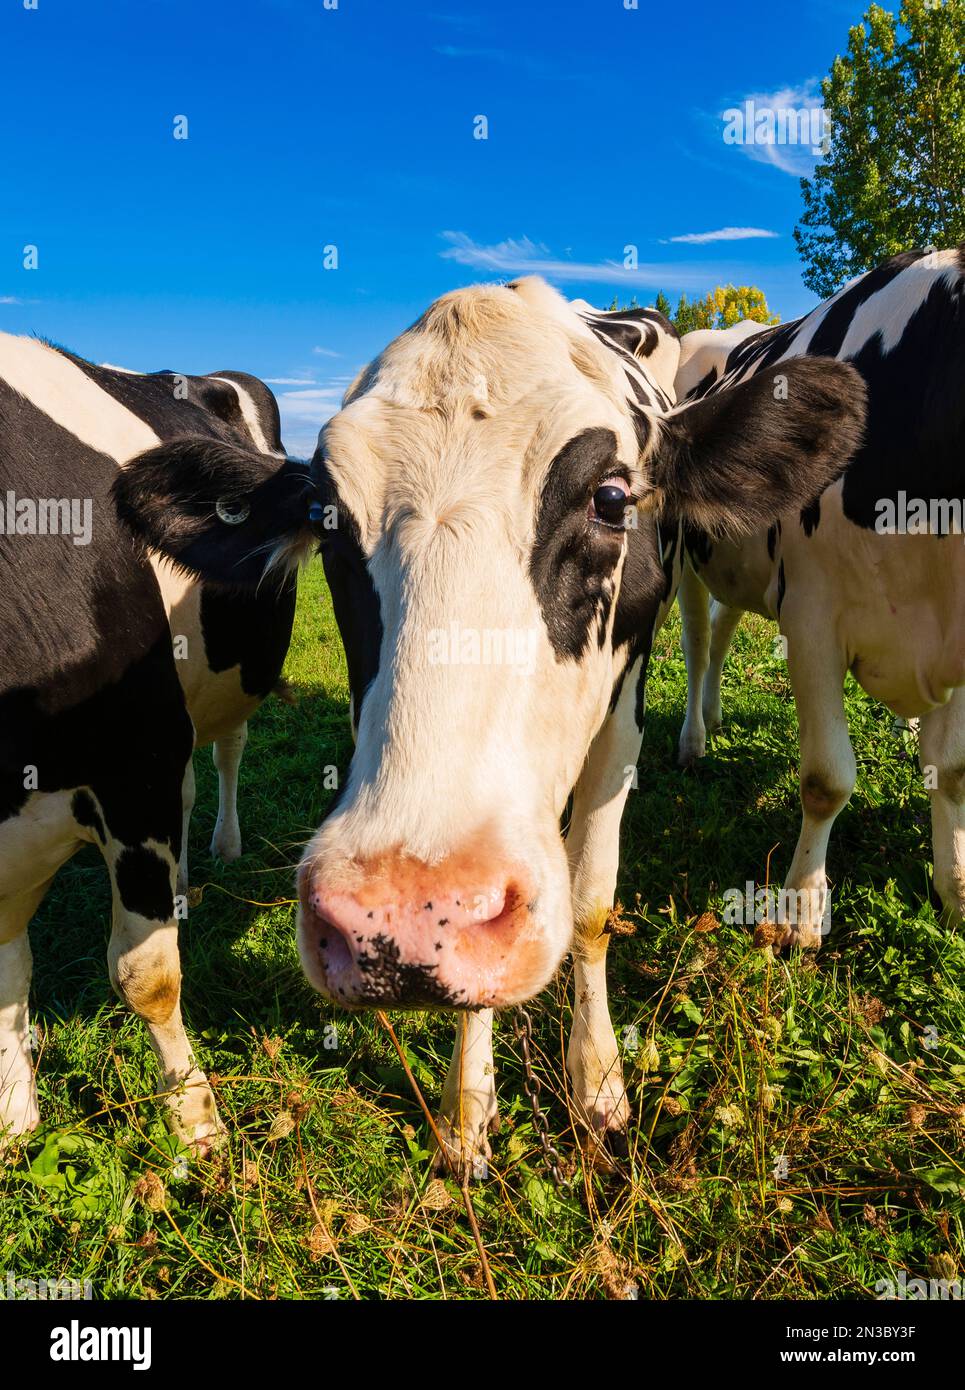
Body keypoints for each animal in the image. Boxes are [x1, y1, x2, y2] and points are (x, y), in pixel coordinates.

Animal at [0, 333, 310, 1147]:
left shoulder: (135, 771)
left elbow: (147, 976)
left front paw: (197, 1121)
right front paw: (14, 1116)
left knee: (226, 755)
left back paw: (223, 847)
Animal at [673, 246, 965, 948]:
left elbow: (952, 769)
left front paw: (956, 892)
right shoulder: (810, 618)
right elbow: (826, 779)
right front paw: (800, 909)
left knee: (724, 624)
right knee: (697, 639)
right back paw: (694, 739)